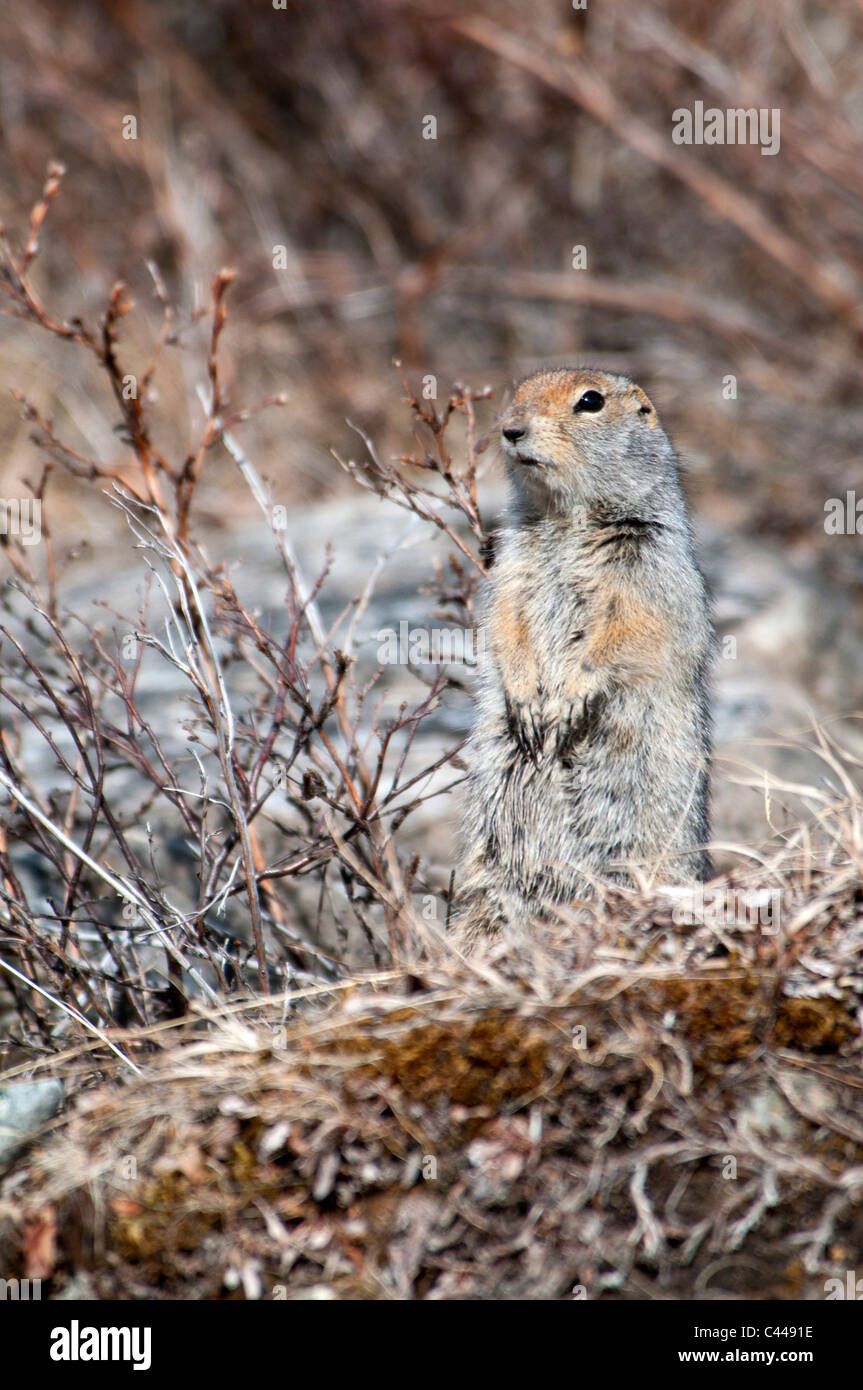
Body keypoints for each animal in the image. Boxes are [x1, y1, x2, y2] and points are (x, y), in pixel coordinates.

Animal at [457, 367, 713, 940]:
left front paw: (569, 697)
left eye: (590, 401)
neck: (566, 518)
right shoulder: (510, 565)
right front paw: (527, 701)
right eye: (516, 394)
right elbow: (503, 623)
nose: (509, 429)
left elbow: (627, 632)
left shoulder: (648, 564)